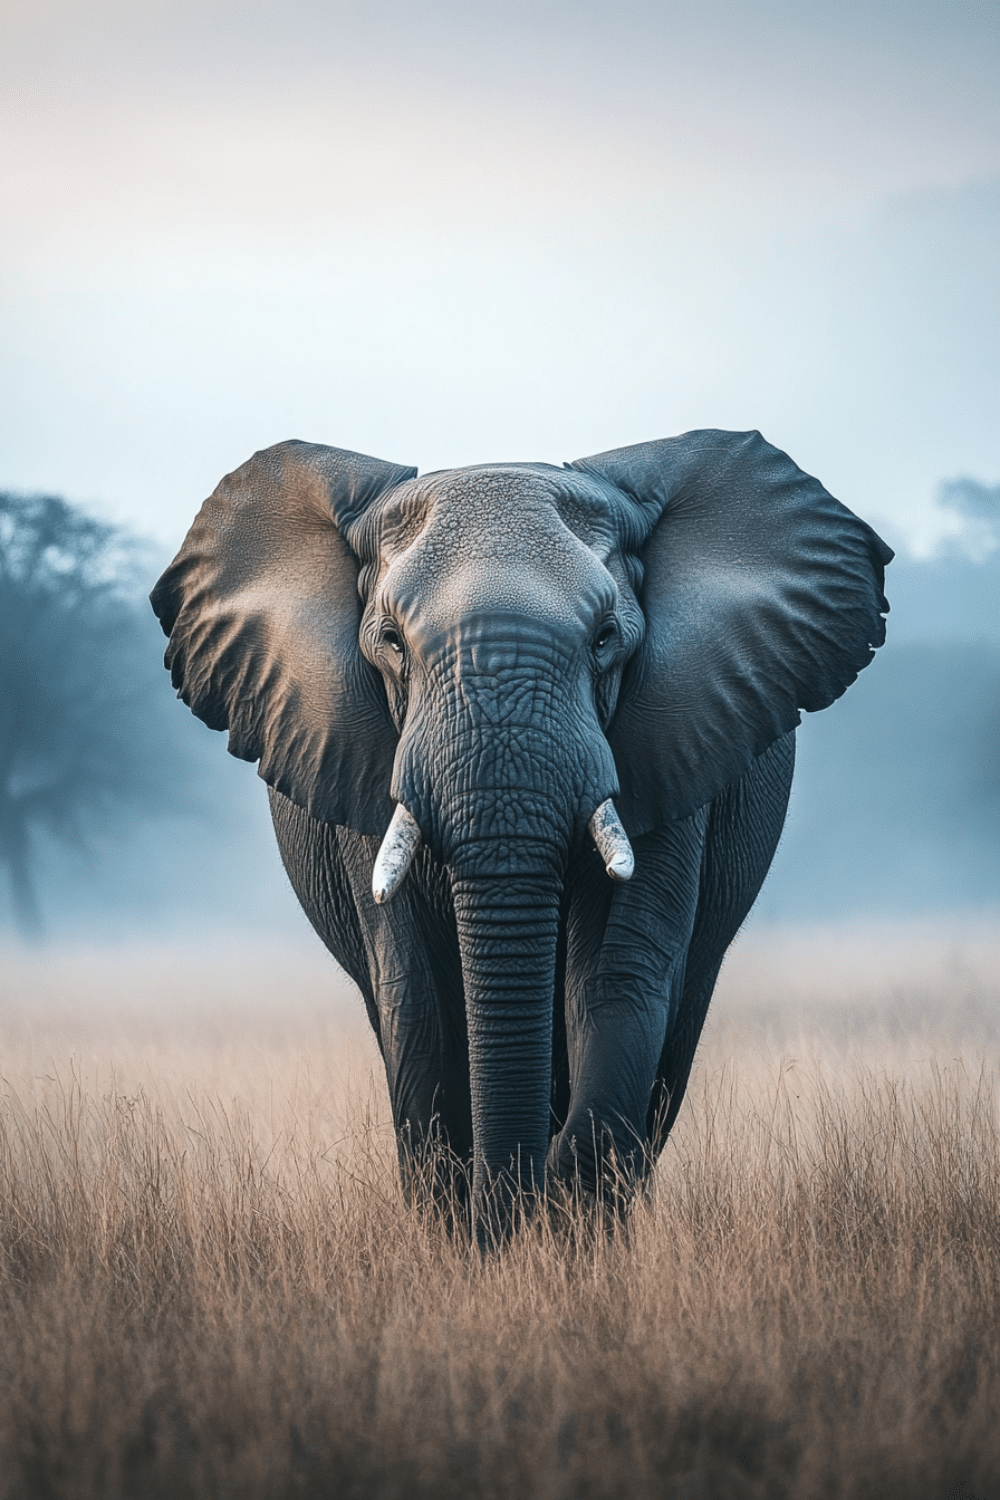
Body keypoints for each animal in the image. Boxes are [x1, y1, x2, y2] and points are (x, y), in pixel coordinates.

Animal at [151, 428, 891, 1240]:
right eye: (391, 643)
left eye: (606, 639)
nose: (514, 1204)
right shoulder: (362, 757)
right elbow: (415, 991)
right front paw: (475, 1231)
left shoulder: (674, 743)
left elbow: (616, 976)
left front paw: (563, 1219)